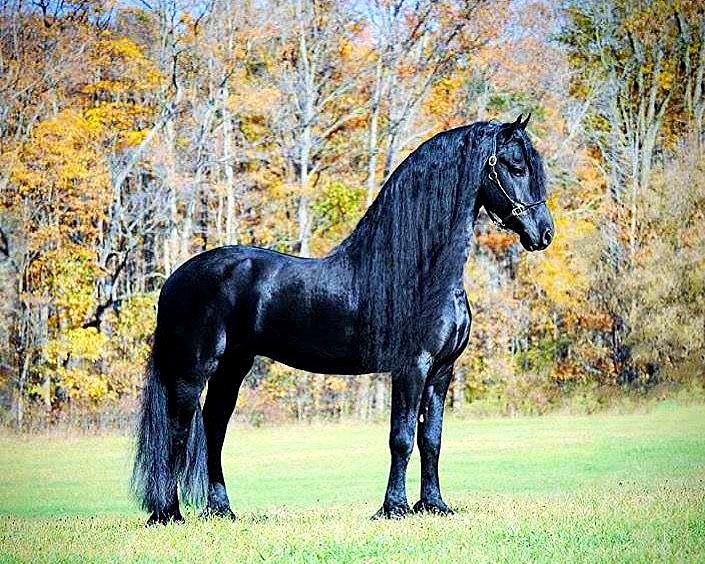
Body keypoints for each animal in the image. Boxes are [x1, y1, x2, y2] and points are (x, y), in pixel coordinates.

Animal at [131, 114, 554, 525]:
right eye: (515, 167)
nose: (544, 233)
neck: (422, 273)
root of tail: (174, 280)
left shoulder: (441, 371)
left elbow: (431, 439)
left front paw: (434, 505)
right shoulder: (411, 367)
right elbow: (401, 438)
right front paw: (394, 508)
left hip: (233, 367)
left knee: (214, 429)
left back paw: (221, 510)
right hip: (192, 371)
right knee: (177, 432)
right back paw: (167, 513)